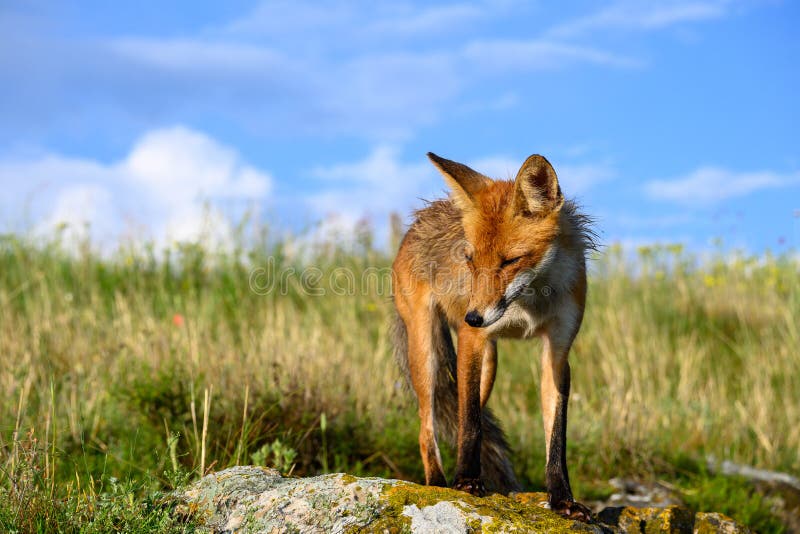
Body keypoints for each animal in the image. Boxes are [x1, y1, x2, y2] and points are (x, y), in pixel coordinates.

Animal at [391, 152, 596, 520]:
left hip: (489, 364)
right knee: (428, 427)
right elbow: (471, 424)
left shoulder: (558, 353)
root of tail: (418, 220)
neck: (530, 301)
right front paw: (466, 482)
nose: (472, 317)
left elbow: (556, 438)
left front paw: (562, 500)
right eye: (470, 259)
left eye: (511, 260)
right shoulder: (472, 339)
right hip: (427, 353)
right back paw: (438, 482)